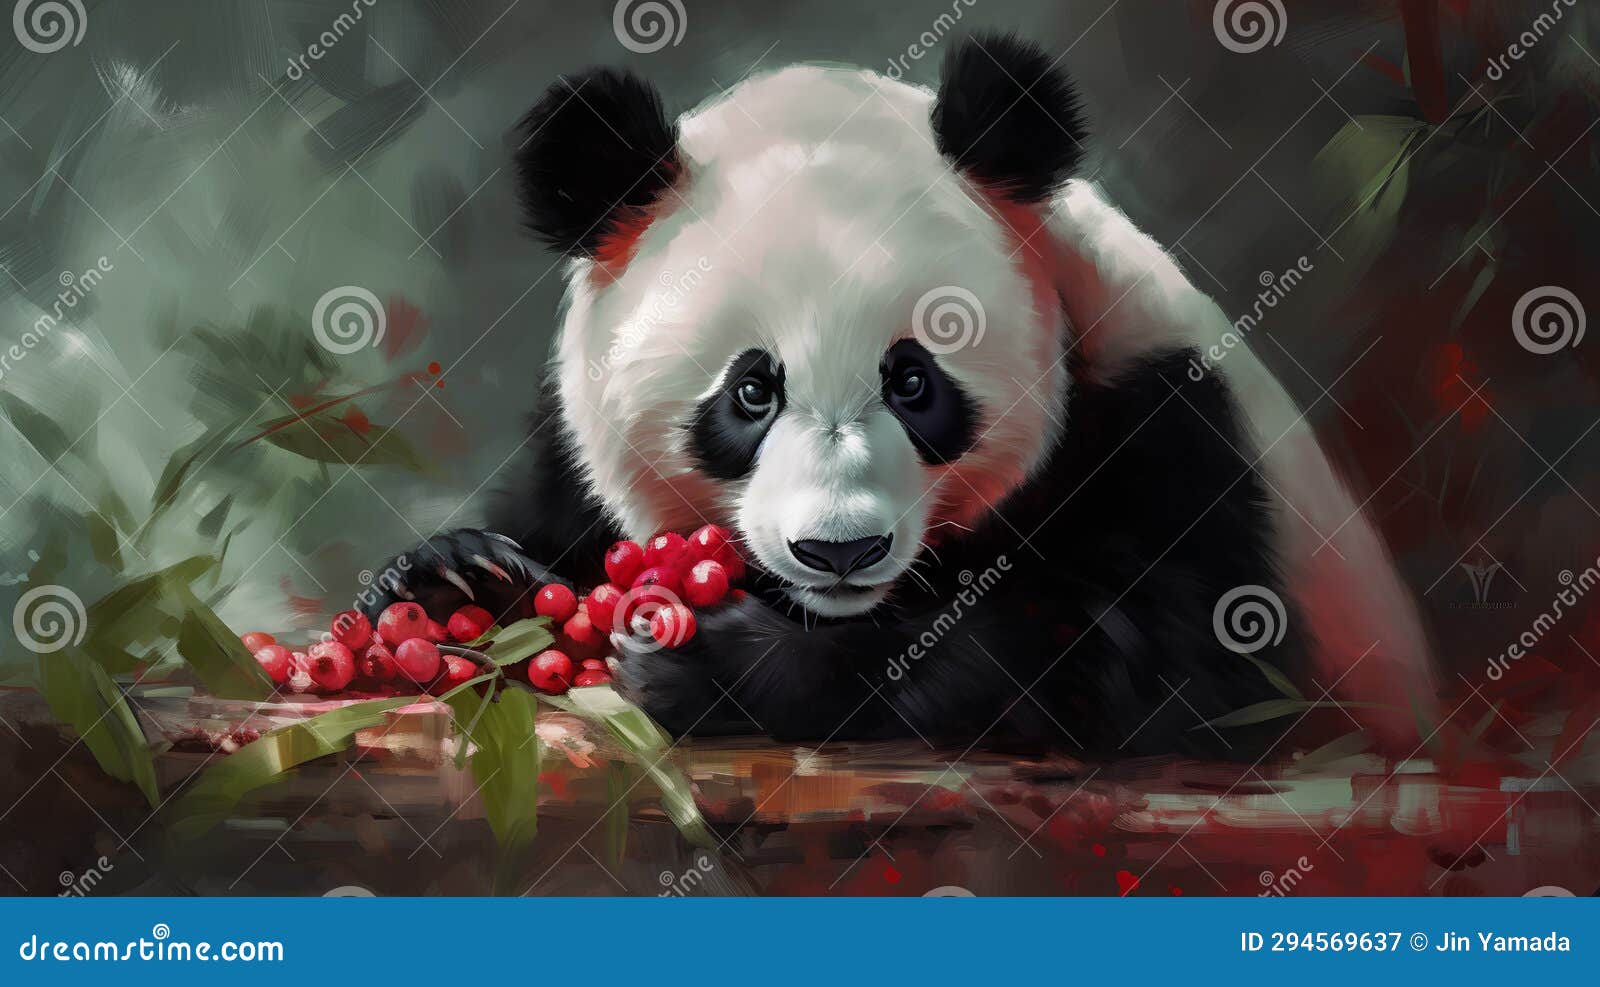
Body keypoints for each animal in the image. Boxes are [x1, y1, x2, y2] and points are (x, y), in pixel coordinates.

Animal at [362, 35, 1434, 758]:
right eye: (751, 391)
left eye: (914, 381)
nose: (840, 550)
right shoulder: (571, 443)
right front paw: (460, 579)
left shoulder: (1171, 420)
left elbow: (1163, 673)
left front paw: (712, 664)